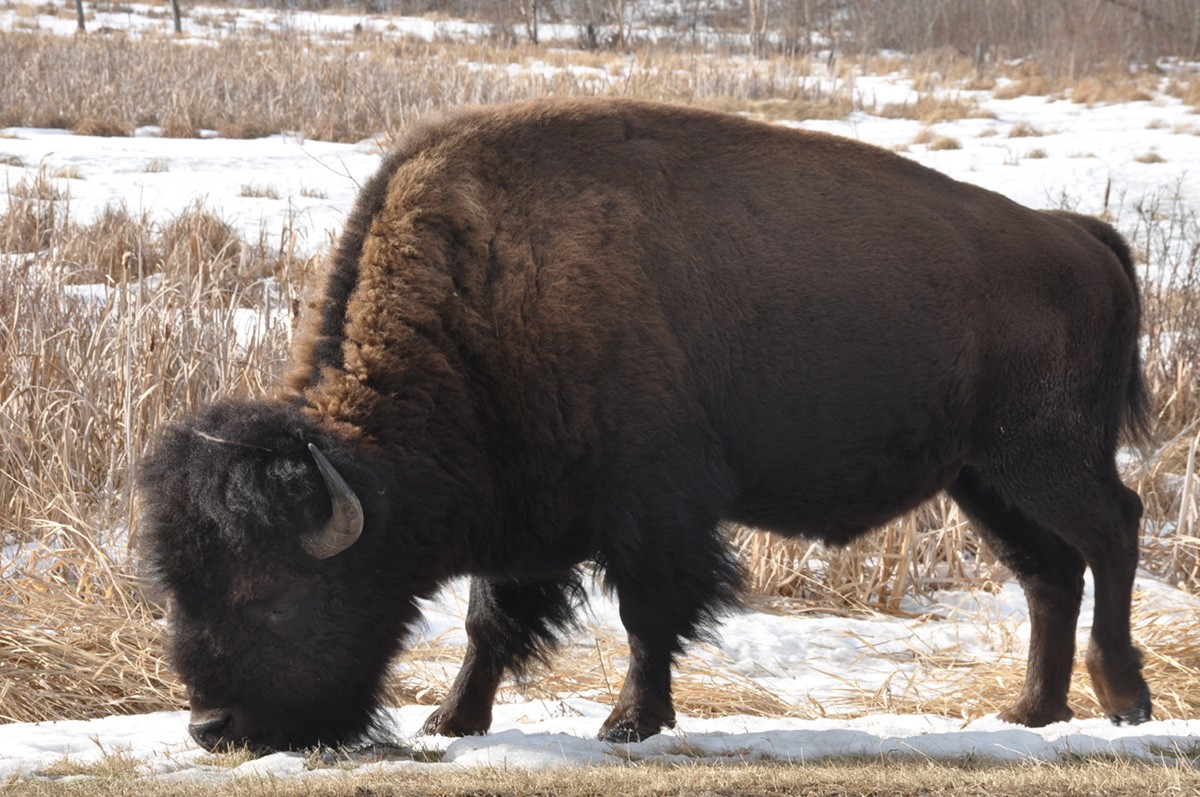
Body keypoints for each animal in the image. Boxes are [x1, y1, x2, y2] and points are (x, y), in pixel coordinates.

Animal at [138, 98, 1151, 753]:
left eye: (277, 595)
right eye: (181, 586)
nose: (213, 728)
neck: (486, 297)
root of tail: (1076, 236)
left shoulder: (653, 510)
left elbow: (642, 615)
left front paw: (629, 721)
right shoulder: (530, 518)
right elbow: (488, 622)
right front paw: (452, 719)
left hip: (1044, 457)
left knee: (1114, 530)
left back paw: (1124, 697)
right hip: (981, 479)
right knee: (1049, 572)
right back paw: (1032, 712)